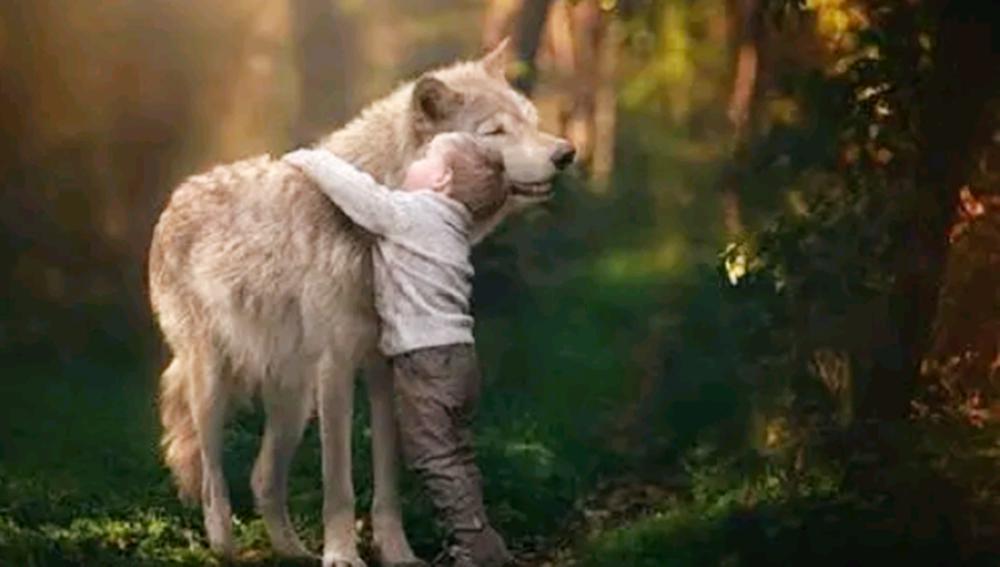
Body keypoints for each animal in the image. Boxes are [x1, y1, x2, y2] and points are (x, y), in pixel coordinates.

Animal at [148, 40, 574, 567]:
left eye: (531, 120)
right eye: (496, 132)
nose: (567, 153)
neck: (375, 228)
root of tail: (176, 197)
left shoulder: (384, 369)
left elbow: (387, 481)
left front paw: (397, 553)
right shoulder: (336, 368)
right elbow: (339, 484)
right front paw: (342, 555)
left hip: (293, 401)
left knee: (262, 477)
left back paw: (293, 552)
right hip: (213, 384)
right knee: (213, 479)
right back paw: (226, 547)